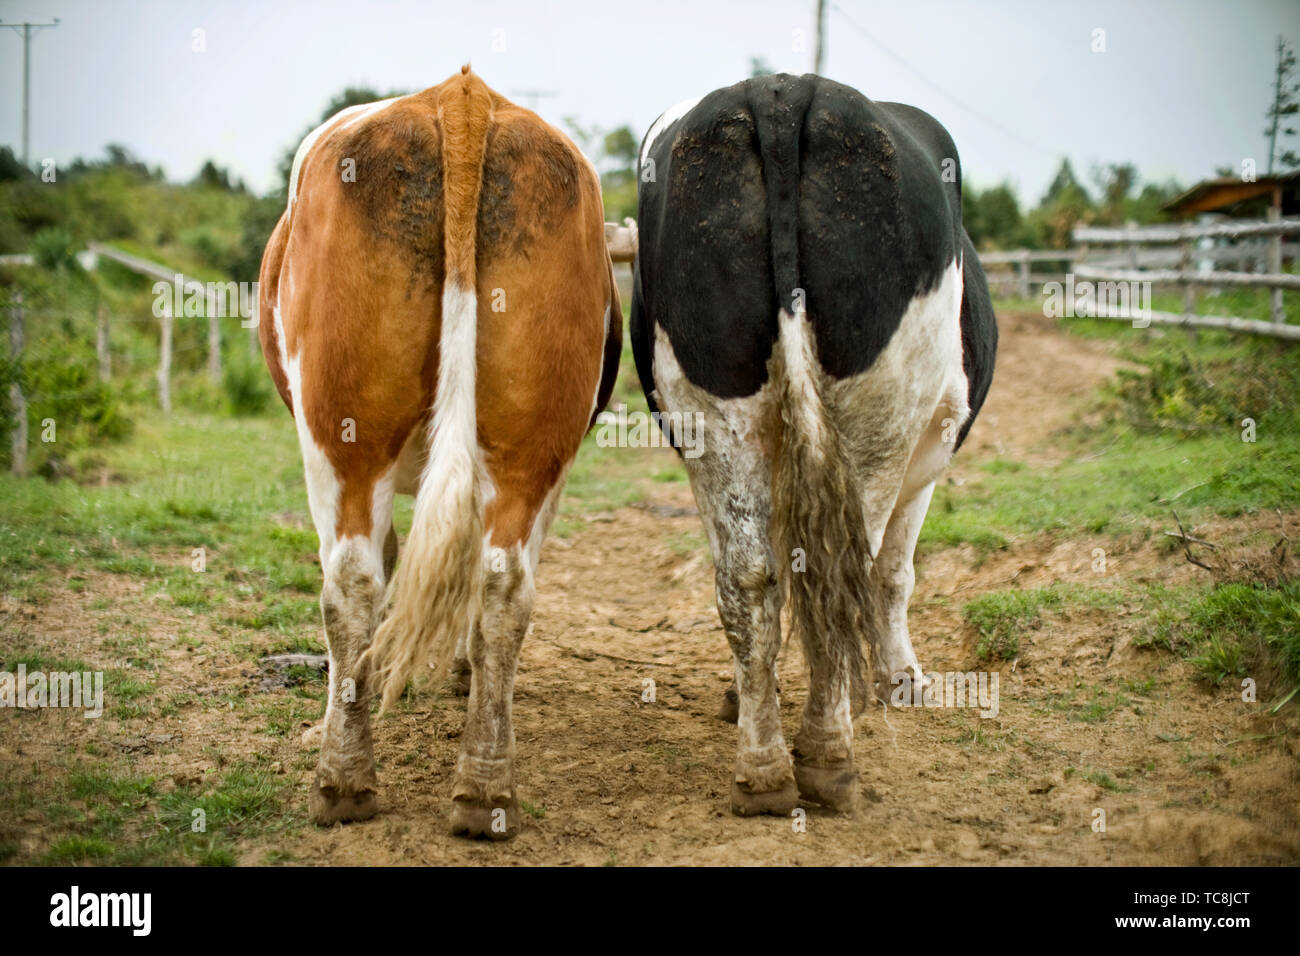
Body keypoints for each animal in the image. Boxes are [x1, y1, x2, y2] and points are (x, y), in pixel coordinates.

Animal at [259, 66, 620, 838]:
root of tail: (462, 96)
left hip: (338, 439)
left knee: (351, 581)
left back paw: (343, 781)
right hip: (533, 440)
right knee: (503, 585)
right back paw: (484, 787)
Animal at [630, 74, 997, 816]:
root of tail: (780, 90)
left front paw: (743, 694)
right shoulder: (926, 457)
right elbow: (894, 574)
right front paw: (901, 679)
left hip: (711, 408)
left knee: (748, 579)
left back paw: (764, 769)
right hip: (879, 424)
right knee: (842, 569)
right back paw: (829, 756)